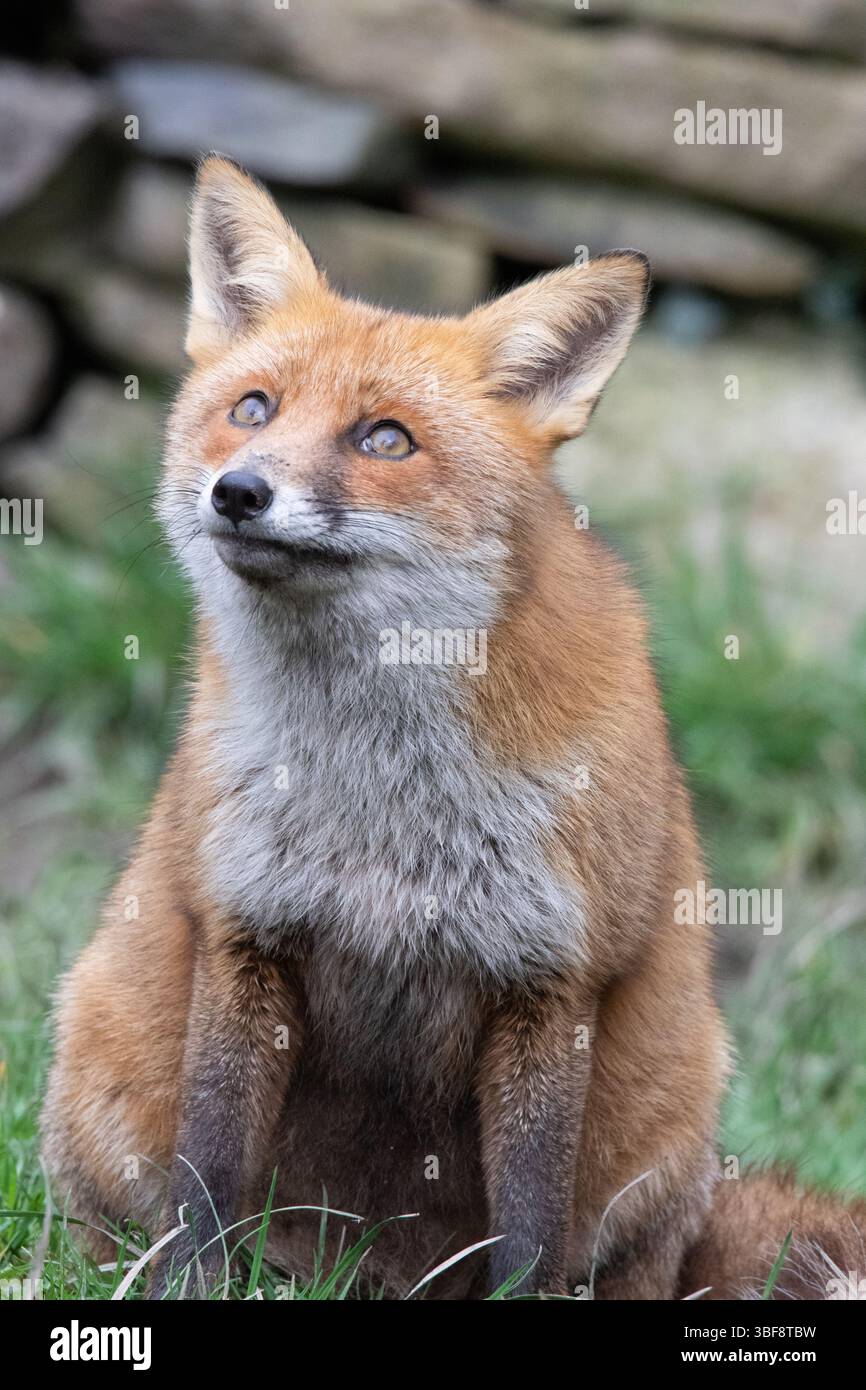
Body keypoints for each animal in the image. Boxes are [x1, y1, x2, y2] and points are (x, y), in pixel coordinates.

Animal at [41, 155, 864, 1300]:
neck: (384, 793)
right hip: (96, 1046)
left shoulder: (550, 984)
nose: (240, 491)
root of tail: (369, 1272)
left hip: (676, 1115)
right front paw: (191, 1290)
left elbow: (527, 1230)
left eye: (384, 438)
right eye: (252, 408)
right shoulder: (244, 935)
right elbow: (204, 1181)